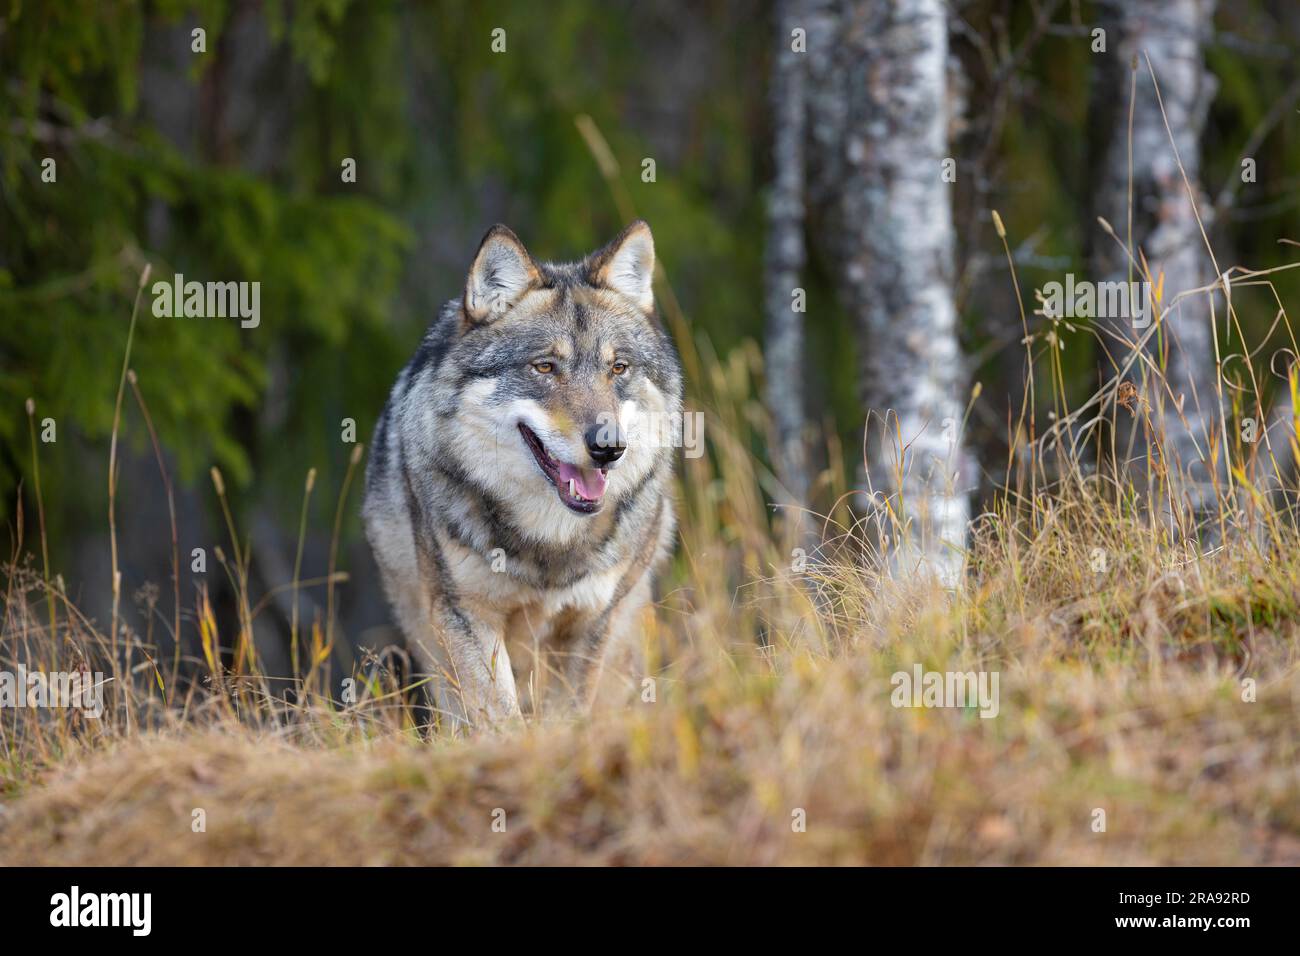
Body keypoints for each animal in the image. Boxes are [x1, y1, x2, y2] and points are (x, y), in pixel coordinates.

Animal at [363, 220, 682, 731]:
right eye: (545, 367)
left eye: (618, 368)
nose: (608, 448)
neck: (549, 541)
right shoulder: (467, 616)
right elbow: (500, 717)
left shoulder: (588, 626)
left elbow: (566, 716)